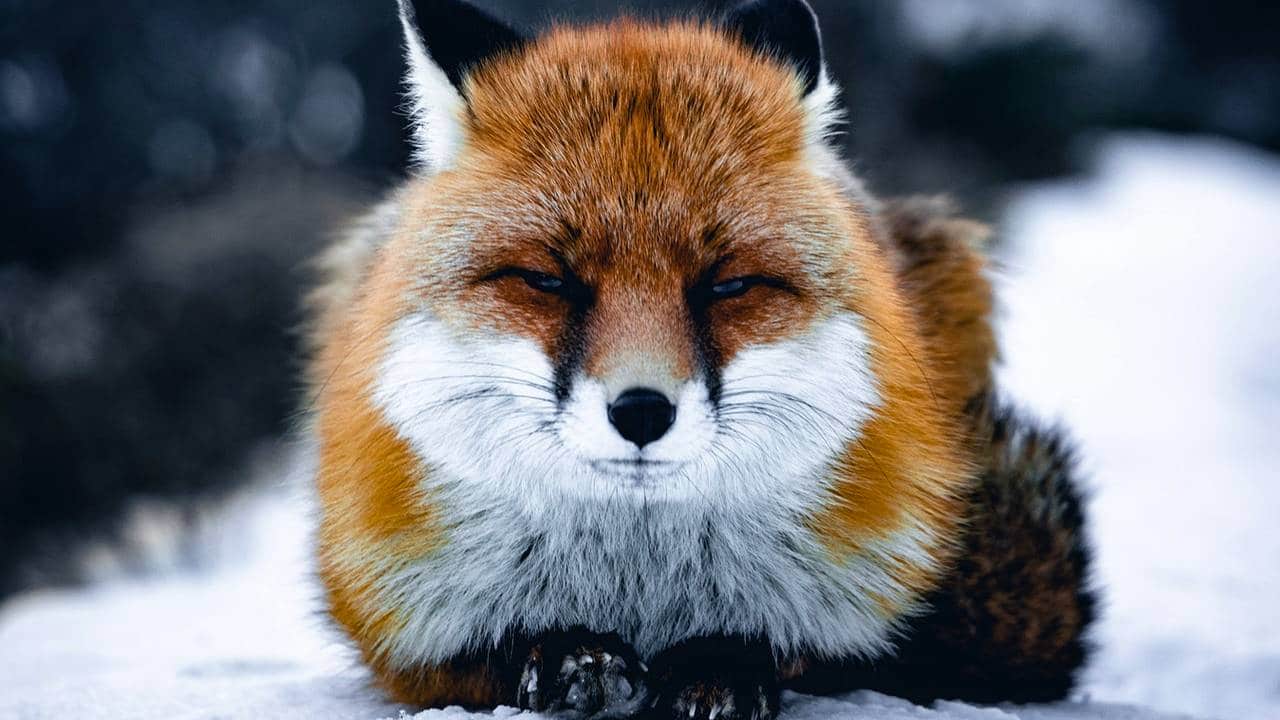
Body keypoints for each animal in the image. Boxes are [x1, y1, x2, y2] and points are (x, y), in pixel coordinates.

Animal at [305, 0, 1097, 718]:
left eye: (727, 285)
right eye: (547, 280)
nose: (641, 411)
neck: (639, 586)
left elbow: (800, 647)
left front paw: (722, 666)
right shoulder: (393, 619)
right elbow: (482, 654)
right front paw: (564, 652)